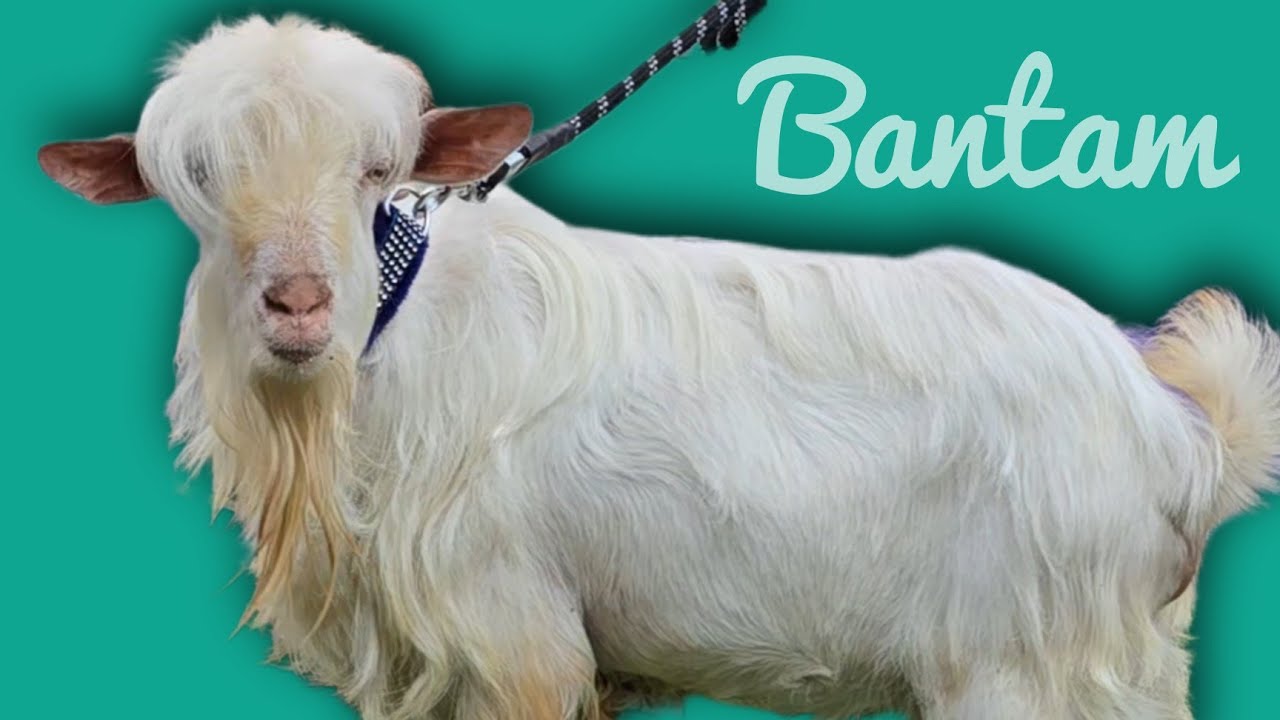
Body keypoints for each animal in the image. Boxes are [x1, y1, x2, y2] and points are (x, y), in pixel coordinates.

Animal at [36, 14, 1280, 720]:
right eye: (198, 180)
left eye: (376, 172)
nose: (298, 305)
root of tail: (1173, 430)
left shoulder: (512, 637)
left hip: (1021, 668)